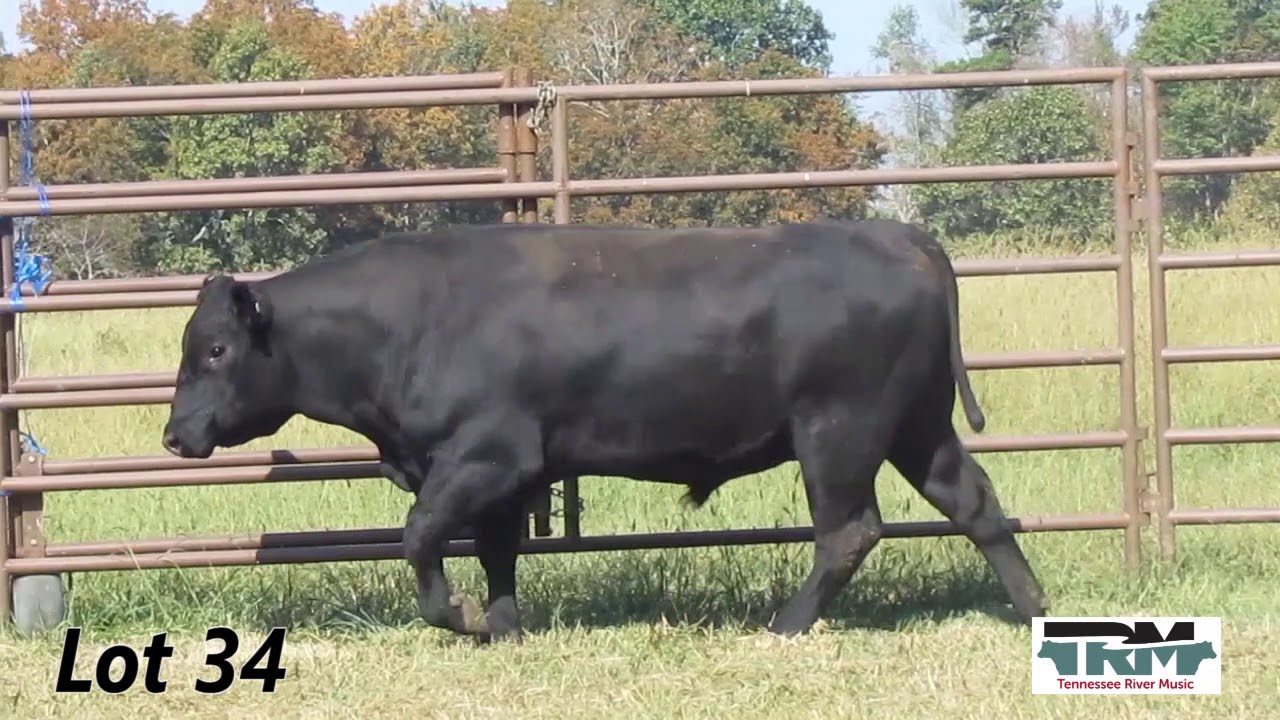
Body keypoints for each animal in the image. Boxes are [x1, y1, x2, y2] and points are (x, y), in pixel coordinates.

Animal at [160, 218, 1049, 644]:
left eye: (215, 349)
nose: (174, 436)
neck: (412, 320)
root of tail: (895, 233)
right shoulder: (505, 476)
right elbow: (496, 551)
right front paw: (504, 626)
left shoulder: (484, 456)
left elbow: (420, 536)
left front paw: (461, 618)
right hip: (917, 427)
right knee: (975, 504)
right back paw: (1033, 605)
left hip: (839, 431)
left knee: (849, 531)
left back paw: (787, 625)